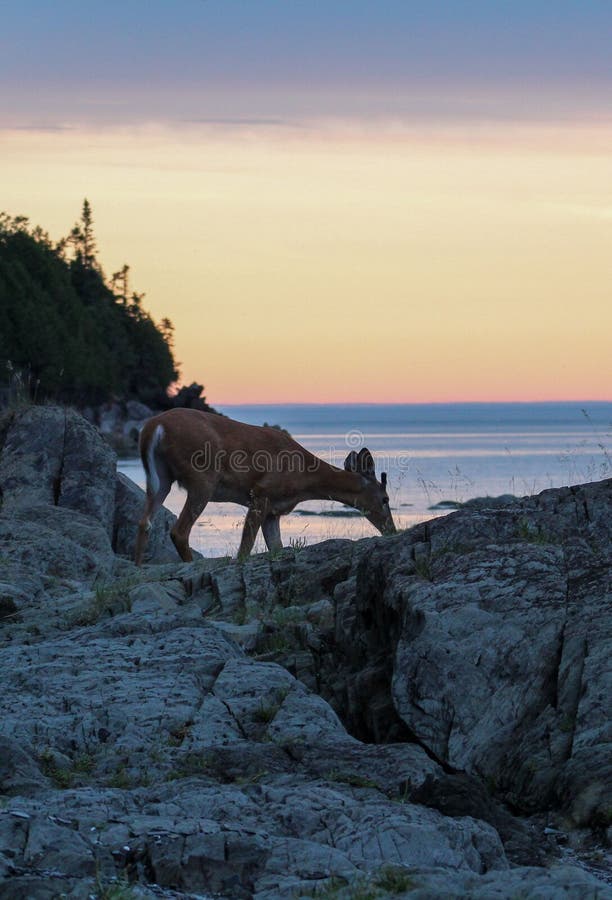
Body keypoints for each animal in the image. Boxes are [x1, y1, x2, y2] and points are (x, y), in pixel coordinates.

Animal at [134, 407, 396, 565]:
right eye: (385, 499)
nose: (392, 531)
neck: (304, 478)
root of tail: (155, 426)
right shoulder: (262, 492)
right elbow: (245, 548)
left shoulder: (273, 511)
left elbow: (276, 547)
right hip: (202, 477)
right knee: (179, 530)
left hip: (161, 478)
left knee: (144, 521)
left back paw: (138, 568)